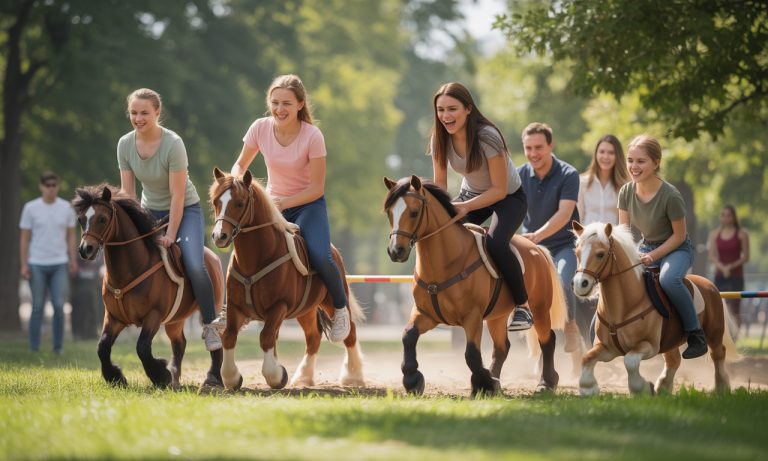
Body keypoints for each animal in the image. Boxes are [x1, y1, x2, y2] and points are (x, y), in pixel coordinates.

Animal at [73, 184, 225, 388]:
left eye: (102, 219)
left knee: (214, 336)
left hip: (210, 307)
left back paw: (213, 378)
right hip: (174, 320)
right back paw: (175, 376)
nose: (85, 249)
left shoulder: (153, 315)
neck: (133, 269)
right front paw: (115, 377)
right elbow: (102, 346)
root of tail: (212, 257)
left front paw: (160, 375)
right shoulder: (113, 317)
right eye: (81, 219)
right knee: (179, 343)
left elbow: (142, 347)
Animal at [208, 167, 365, 390]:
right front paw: (232, 377)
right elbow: (229, 336)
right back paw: (304, 377)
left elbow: (266, 337)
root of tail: (333, 251)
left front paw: (276, 375)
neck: (256, 259)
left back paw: (354, 376)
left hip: (331, 300)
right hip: (306, 311)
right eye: (216, 202)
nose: (219, 236)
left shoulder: (279, 306)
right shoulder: (236, 307)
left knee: (350, 333)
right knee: (313, 338)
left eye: (239, 203)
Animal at [383, 175, 567, 396]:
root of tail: (537, 249)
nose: (395, 251)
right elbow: (408, 336)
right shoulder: (425, 314)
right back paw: (496, 380)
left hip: (540, 309)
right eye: (389, 213)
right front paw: (412, 380)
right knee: (502, 347)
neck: (446, 262)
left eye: (414, 212)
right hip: (497, 316)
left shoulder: (472, 316)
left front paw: (483, 383)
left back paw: (546, 382)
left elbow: (471, 353)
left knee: (547, 341)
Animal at [572, 221, 736, 395]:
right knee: (673, 360)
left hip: (714, 333)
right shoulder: (607, 348)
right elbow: (586, 358)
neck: (626, 306)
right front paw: (588, 388)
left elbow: (630, 361)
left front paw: (642, 388)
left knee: (718, 354)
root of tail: (710, 285)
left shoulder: (648, 345)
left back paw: (721, 387)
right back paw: (663, 387)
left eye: (600, 254)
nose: (580, 284)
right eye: (577, 252)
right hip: (670, 341)